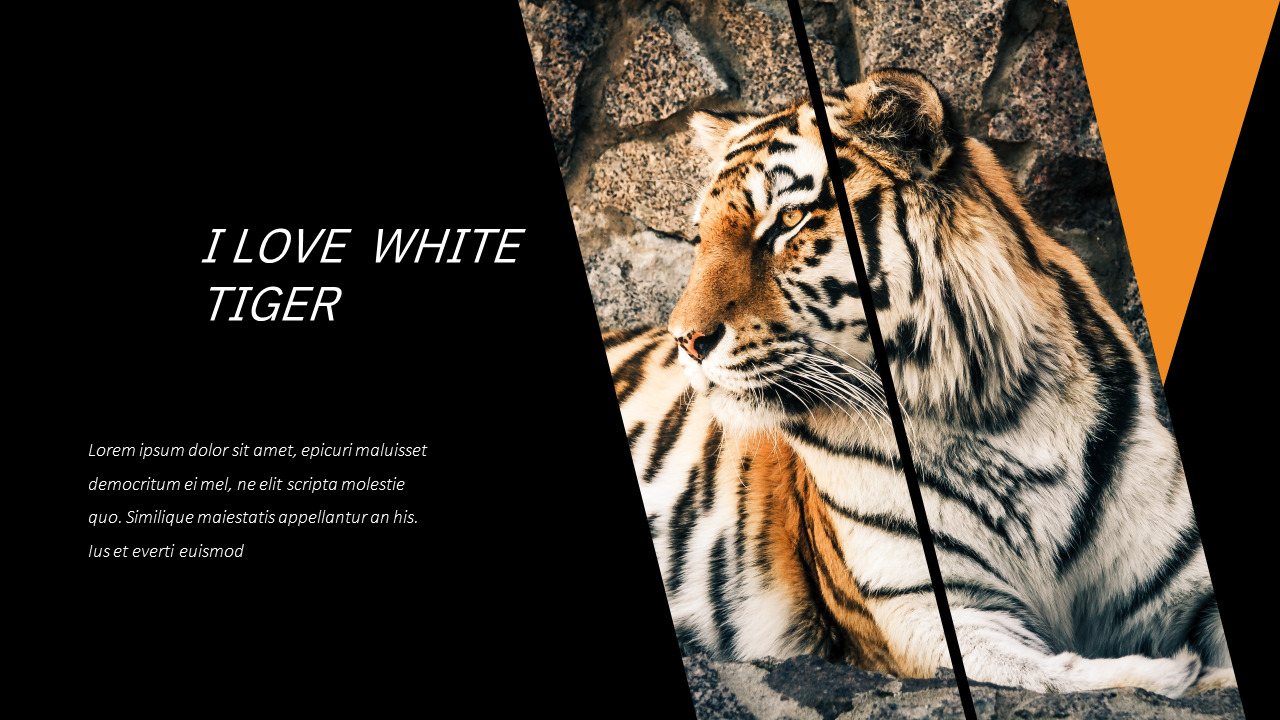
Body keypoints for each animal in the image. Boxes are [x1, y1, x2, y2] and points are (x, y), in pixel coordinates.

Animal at [605, 69, 1233, 696]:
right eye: (699, 238)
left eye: (787, 222)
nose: (686, 339)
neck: (997, 410)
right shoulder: (928, 610)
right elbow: (1053, 674)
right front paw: (1175, 673)